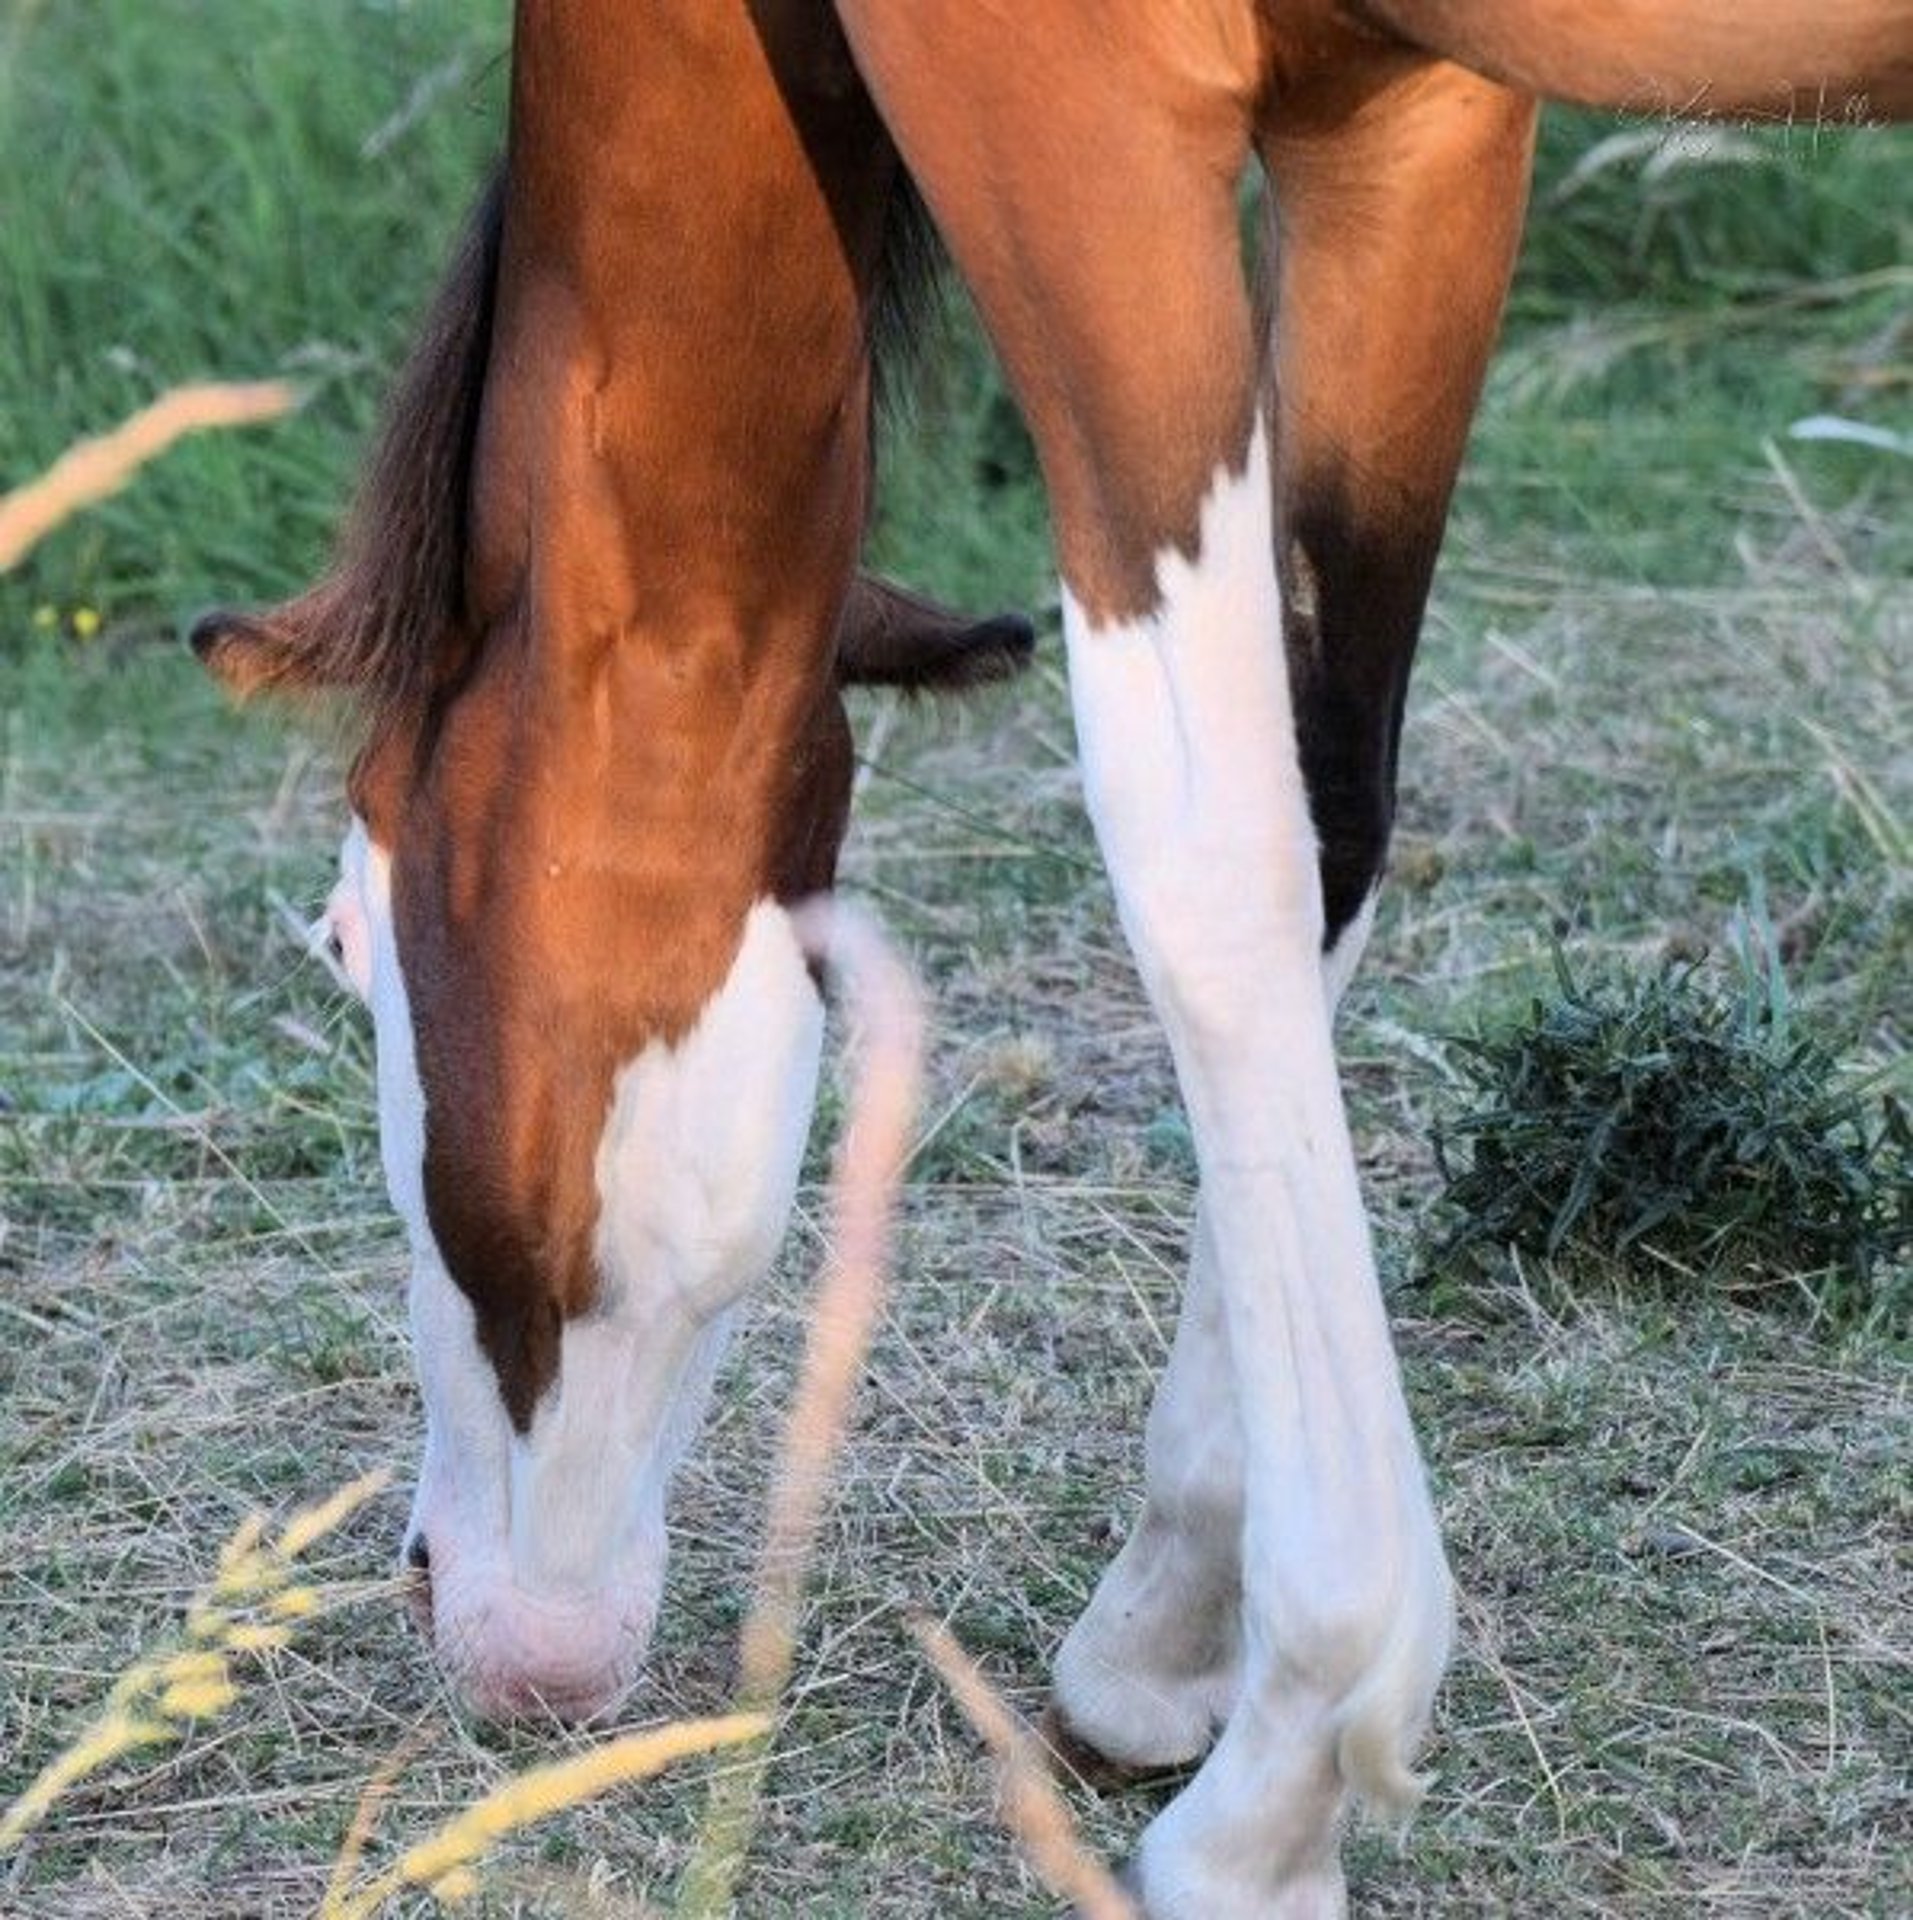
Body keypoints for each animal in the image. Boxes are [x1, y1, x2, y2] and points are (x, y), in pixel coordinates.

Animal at [190, 3, 1912, 1912]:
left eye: (349, 937)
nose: (468, 1609)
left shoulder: (1062, 108)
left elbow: (1205, 857)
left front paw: (1287, 1769)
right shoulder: (1413, 124)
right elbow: (1327, 802)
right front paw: (1168, 1635)